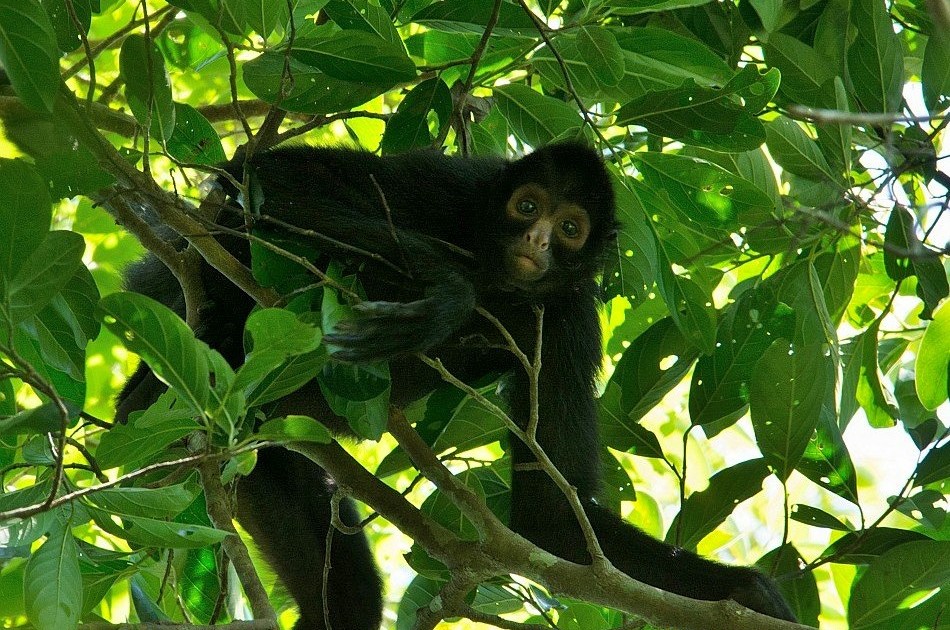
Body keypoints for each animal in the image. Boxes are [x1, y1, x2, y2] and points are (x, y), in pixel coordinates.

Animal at [116, 142, 797, 628]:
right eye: (528, 207)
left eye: (570, 228)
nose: (537, 239)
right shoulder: (454, 185)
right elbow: (265, 171)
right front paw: (447, 294)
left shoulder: (571, 321)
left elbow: (551, 519)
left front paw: (743, 591)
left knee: (349, 596)